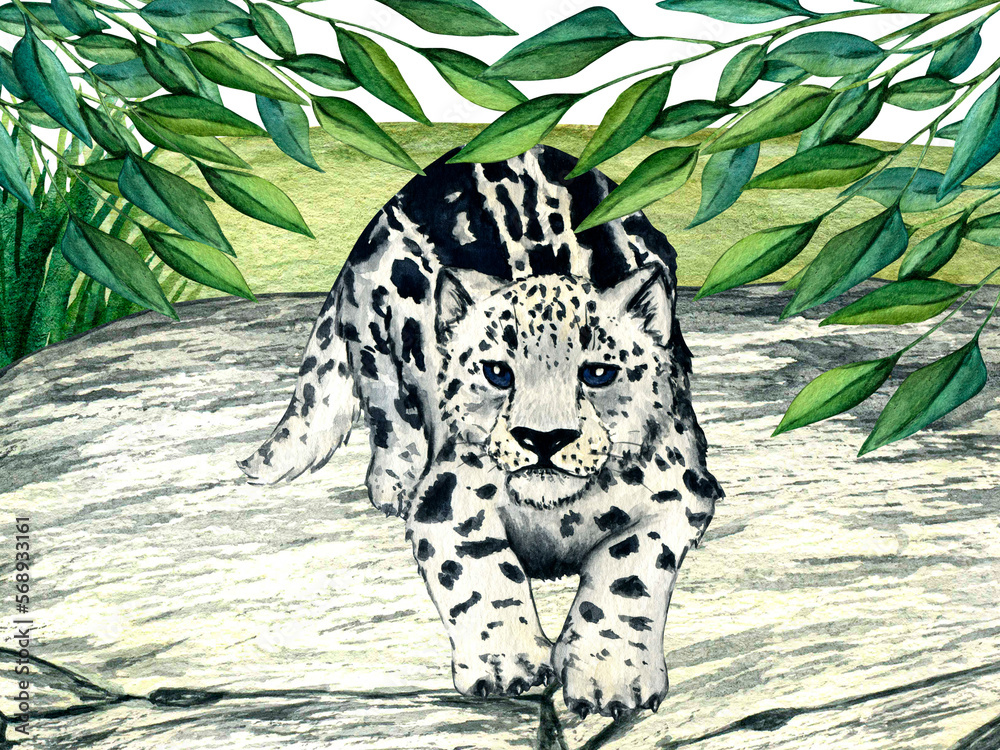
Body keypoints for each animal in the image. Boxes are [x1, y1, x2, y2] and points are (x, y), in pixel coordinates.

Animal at [239, 143, 723, 720]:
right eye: (497, 372)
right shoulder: (451, 494)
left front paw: (611, 675)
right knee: (386, 406)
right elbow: (479, 568)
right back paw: (394, 481)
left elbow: (628, 571)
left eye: (597, 373)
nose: (544, 438)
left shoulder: (679, 491)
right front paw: (505, 664)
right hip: (373, 334)